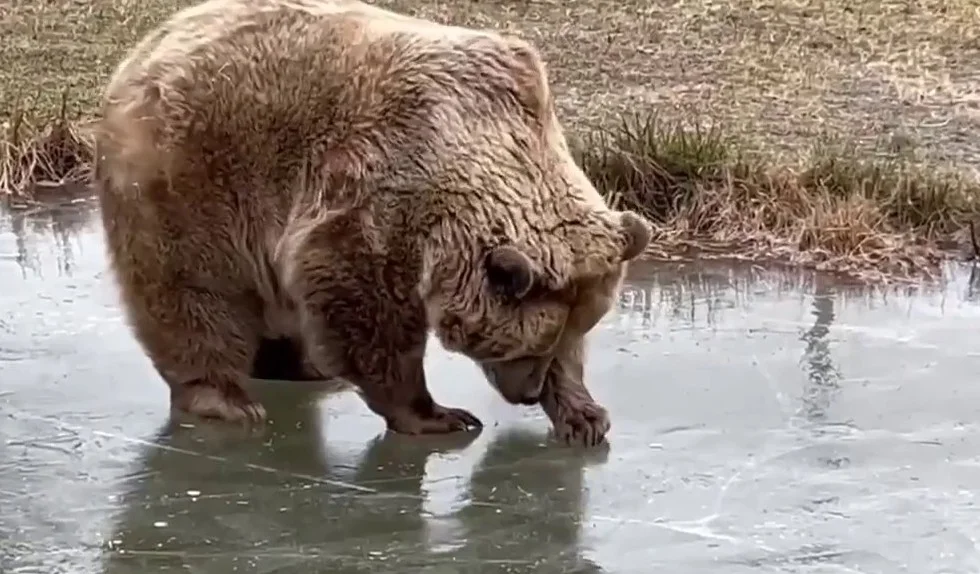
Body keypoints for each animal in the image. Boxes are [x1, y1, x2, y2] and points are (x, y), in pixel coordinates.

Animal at [92, 0, 651, 443]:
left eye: (564, 340)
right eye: (523, 347)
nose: (528, 394)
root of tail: (148, 45)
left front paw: (585, 416)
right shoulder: (374, 194)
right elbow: (363, 310)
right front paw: (440, 415)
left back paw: (305, 367)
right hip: (195, 177)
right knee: (194, 291)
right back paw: (226, 400)